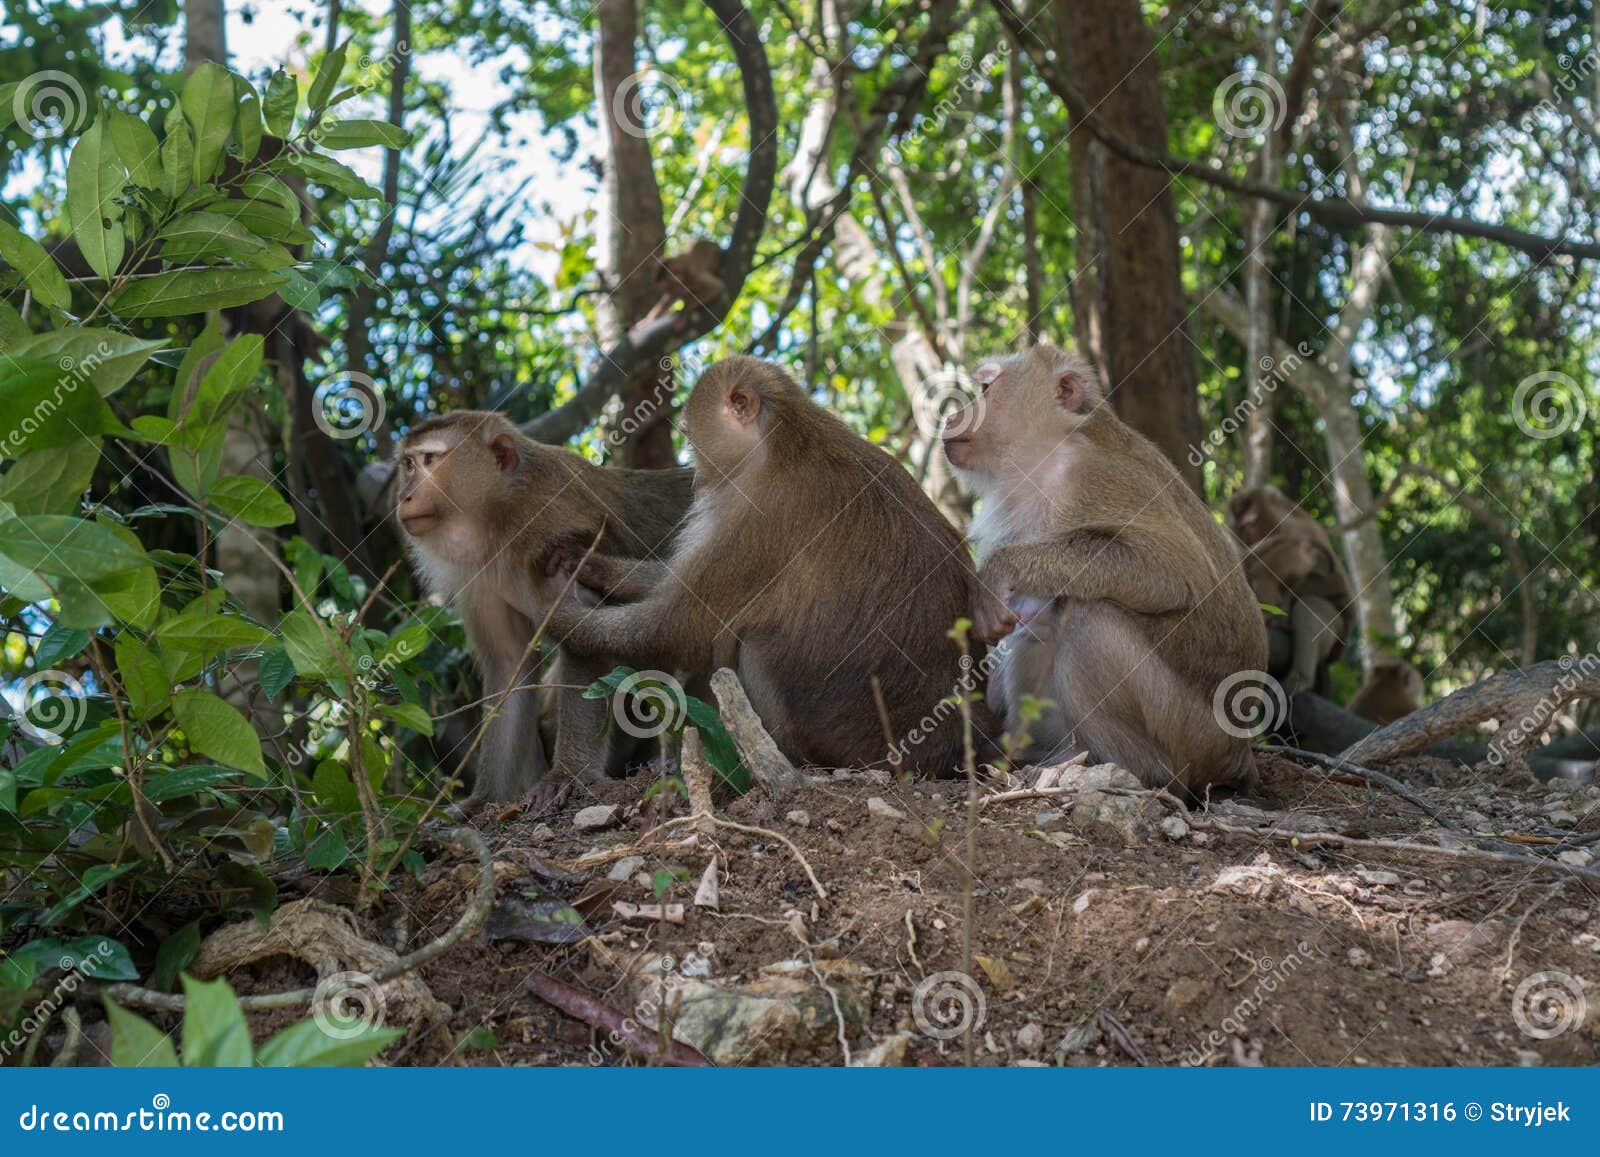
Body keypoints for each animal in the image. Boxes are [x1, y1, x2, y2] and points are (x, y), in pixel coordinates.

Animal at [393, 411, 693, 810]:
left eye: (431, 460)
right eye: (409, 465)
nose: (404, 496)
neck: (501, 518)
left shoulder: (555, 533)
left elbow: (587, 642)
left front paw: (565, 775)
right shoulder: (481, 580)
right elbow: (509, 664)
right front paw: (482, 800)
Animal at [541, 356, 993, 777]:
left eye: (690, 438)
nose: (696, 481)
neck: (783, 438)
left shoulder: (755, 513)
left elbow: (675, 626)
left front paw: (559, 618)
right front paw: (591, 563)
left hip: (850, 740)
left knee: (751, 648)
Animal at [942, 342, 1268, 797]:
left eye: (987, 388)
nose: (953, 415)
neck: (1045, 457)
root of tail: (1240, 753)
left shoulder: (1098, 479)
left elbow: (1175, 572)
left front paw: (997, 572)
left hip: (1191, 732)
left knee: (1088, 617)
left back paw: (1134, 770)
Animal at [1226, 485, 1354, 696]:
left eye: (1251, 522)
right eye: (1242, 528)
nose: (1248, 535)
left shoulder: (1294, 531)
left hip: (1337, 630)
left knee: (1309, 605)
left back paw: (1299, 679)